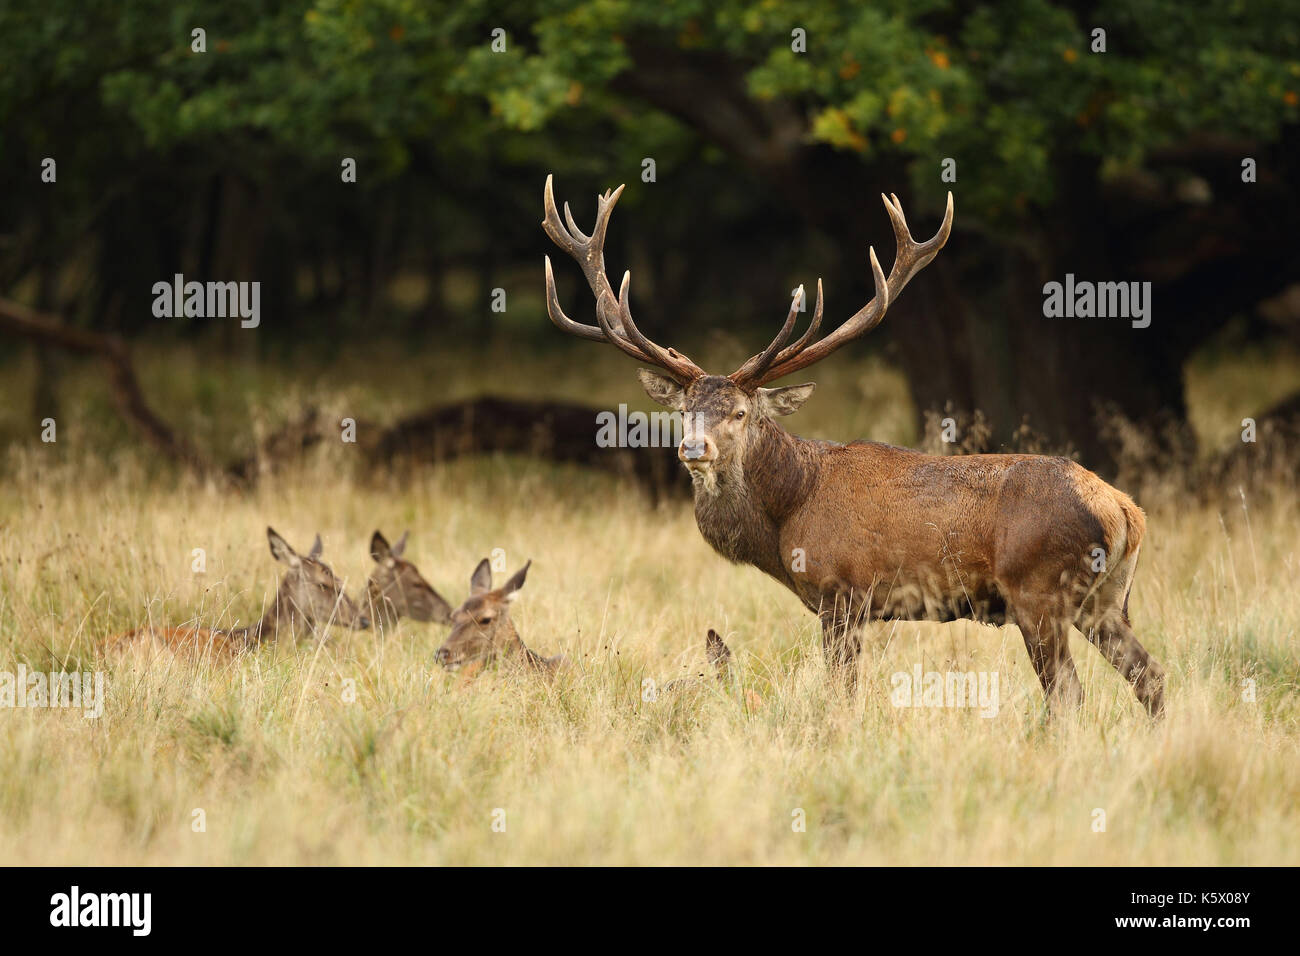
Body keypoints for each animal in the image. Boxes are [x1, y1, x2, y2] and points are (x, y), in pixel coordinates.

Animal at [541, 176, 1165, 717]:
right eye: (682, 412)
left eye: (740, 412)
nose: (693, 451)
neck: (789, 512)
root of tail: (1124, 511)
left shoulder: (842, 595)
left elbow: (841, 696)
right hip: (1106, 599)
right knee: (1150, 676)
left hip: (1038, 592)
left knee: (1069, 694)